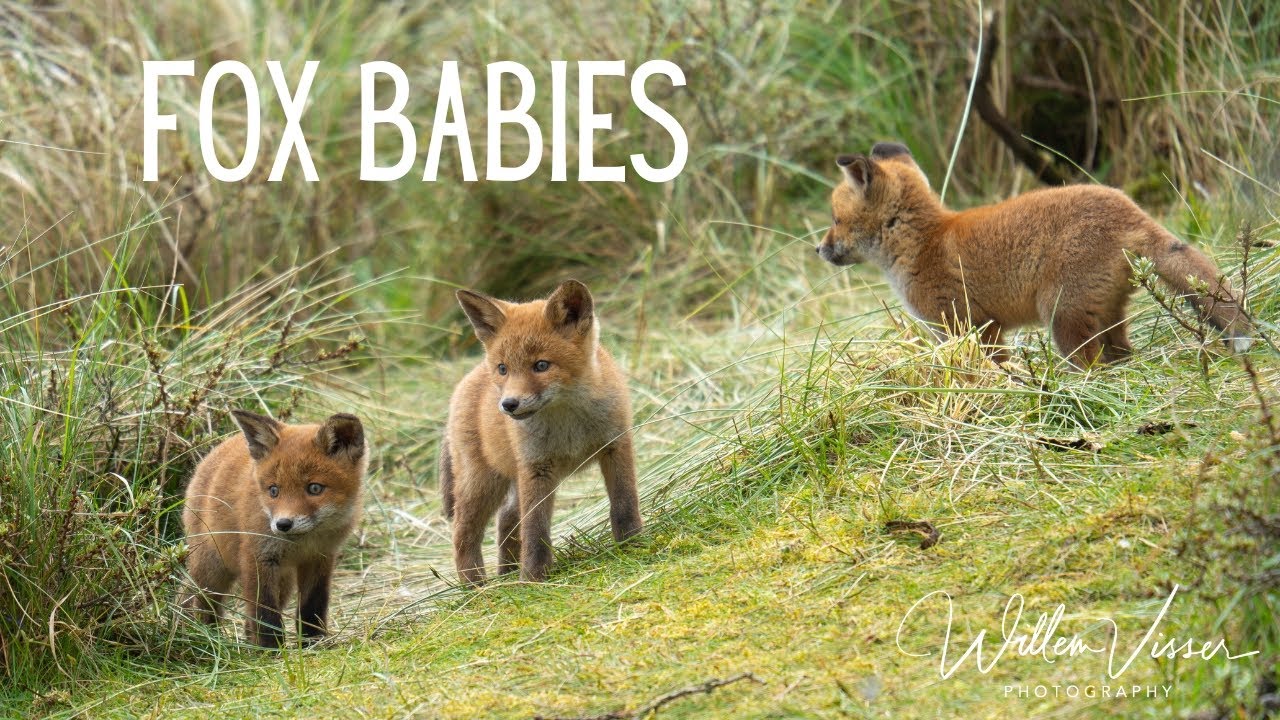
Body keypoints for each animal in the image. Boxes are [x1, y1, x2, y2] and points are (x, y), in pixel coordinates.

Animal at [181, 410, 366, 647]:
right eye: (274, 490)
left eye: (315, 488)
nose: (283, 524)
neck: (304, 542)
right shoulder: (258, 557)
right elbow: (265, 613)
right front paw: (272, 649)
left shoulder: (320, 557)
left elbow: (312, 606)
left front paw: (313, 642)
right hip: (211, 570)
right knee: (200, 602)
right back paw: (204, 636)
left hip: (284, 581)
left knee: (248, 618)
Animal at [441, 279, 642, 585]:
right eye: (503, 369)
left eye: (541, 365)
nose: (508, 405)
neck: (568, 423)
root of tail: (465, 380)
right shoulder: (537, 467)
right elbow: (536, 530)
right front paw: (533, 579)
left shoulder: (615, 445)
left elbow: (624, 503)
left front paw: (633, 545)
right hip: (482, 483)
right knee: (464, 532)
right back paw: (475, 586)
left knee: (506, 519)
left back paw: (506, 573)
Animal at [816, 142, 1253, 366]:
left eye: (835, 219)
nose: (818, 249)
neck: (924, 243)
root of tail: (1132, 212)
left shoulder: (972, 325)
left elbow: (993, 369)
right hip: (1106, 315)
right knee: (1121, 355)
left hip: (1061, 314)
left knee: (1090, 363)